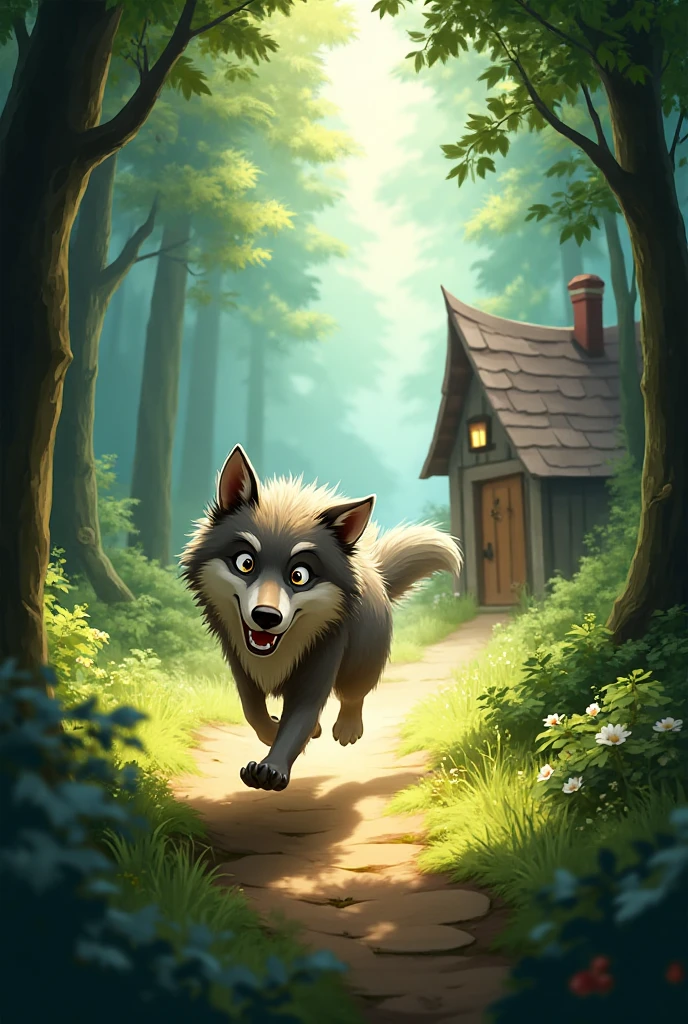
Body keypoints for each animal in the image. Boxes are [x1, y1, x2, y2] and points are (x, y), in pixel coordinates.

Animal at [180, 445, 462, 792]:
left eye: (299, 575)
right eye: (245, 563)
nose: (266, 616)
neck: (278, 653)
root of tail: (377, 573)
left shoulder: (320, 665)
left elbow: (298, 722)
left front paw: (272, 768)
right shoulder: (241, 667)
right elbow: (253, 711)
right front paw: (271, 731)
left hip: (360, 662)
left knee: (354, 694)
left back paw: (348, 727)